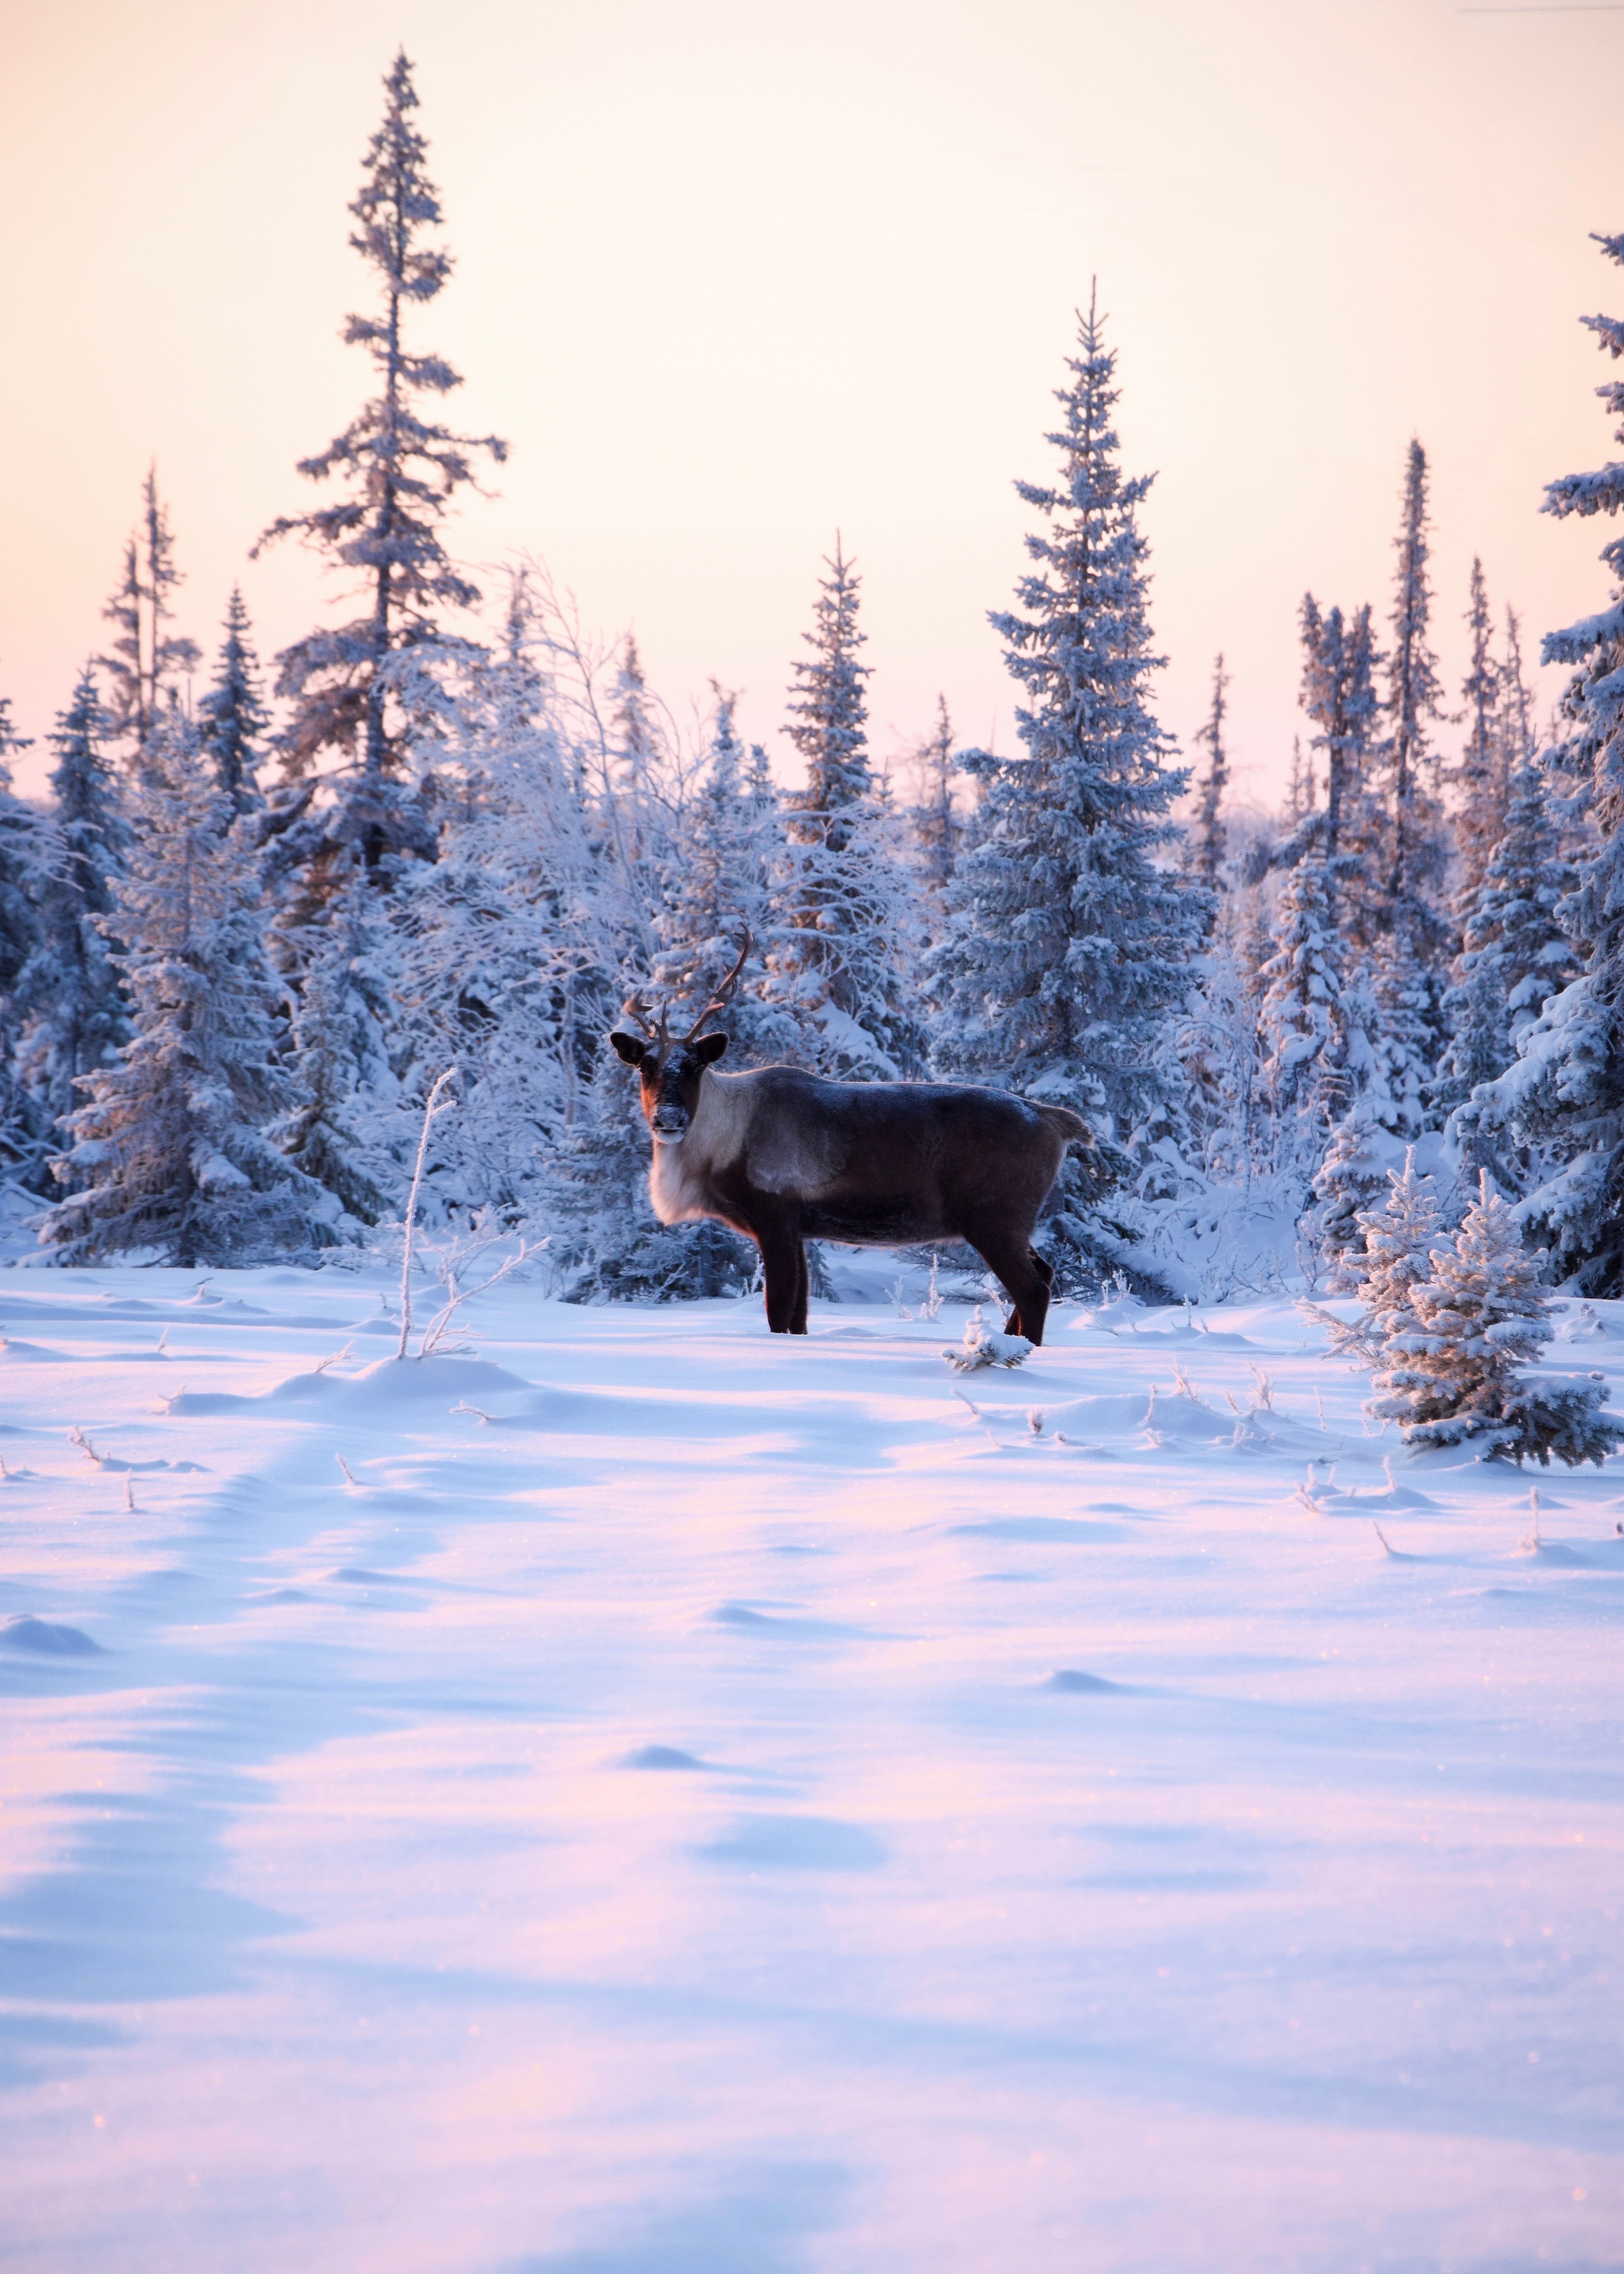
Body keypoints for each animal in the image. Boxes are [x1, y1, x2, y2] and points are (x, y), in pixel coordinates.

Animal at [608, 936, 1091, 1342]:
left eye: (695, 1067)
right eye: (645, 1066)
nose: (668, 1118)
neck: (721, 1145)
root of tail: (1053, 1119)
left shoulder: (774, 1215)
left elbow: (778, 1311)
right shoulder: (800, 1228)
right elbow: (798, 1317)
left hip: (994, 1218)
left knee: (1032, 1289)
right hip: (1014, 1222)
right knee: (1046, 1273)